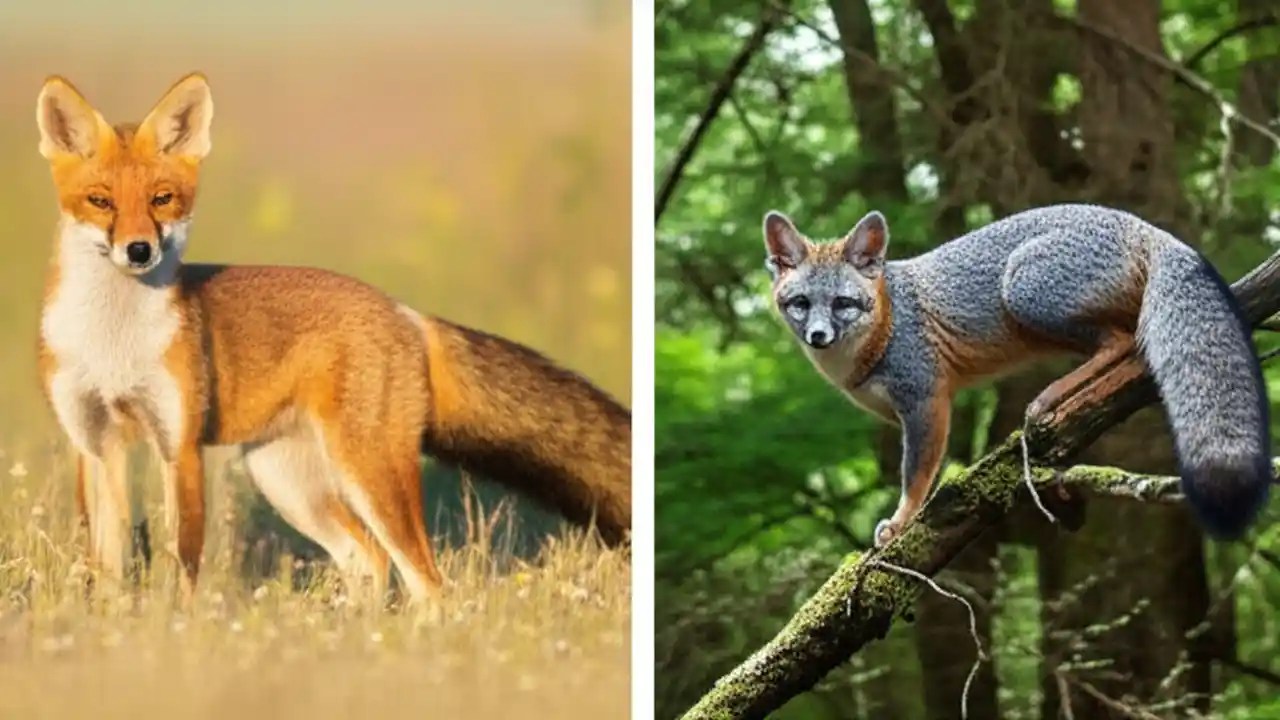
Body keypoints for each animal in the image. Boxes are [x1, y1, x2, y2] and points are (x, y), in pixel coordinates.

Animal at [34, 72, 631, 604]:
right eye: (100, 201)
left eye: (162, 199)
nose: (139, 250)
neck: (114, 344)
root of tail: (403, 310)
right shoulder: (95, 443)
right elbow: (105, 566)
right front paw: (111, 627)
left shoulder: (177, 444)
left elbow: (182, 564)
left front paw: (175, 631)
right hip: (289, 482)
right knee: (369, 559)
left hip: (365, 472)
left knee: (425, 579)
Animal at [762, 204, 1271, 547]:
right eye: (801, 303)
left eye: (843, 304)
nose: (819, 336)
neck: (883, 328)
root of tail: (1143, 225)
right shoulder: (918, 414)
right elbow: (929, 471)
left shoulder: (925, 400)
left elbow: (915, 477)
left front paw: (902, 521)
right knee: (1130, 348)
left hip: (1021, 289)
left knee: (1121, 345)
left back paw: (1055, 396)